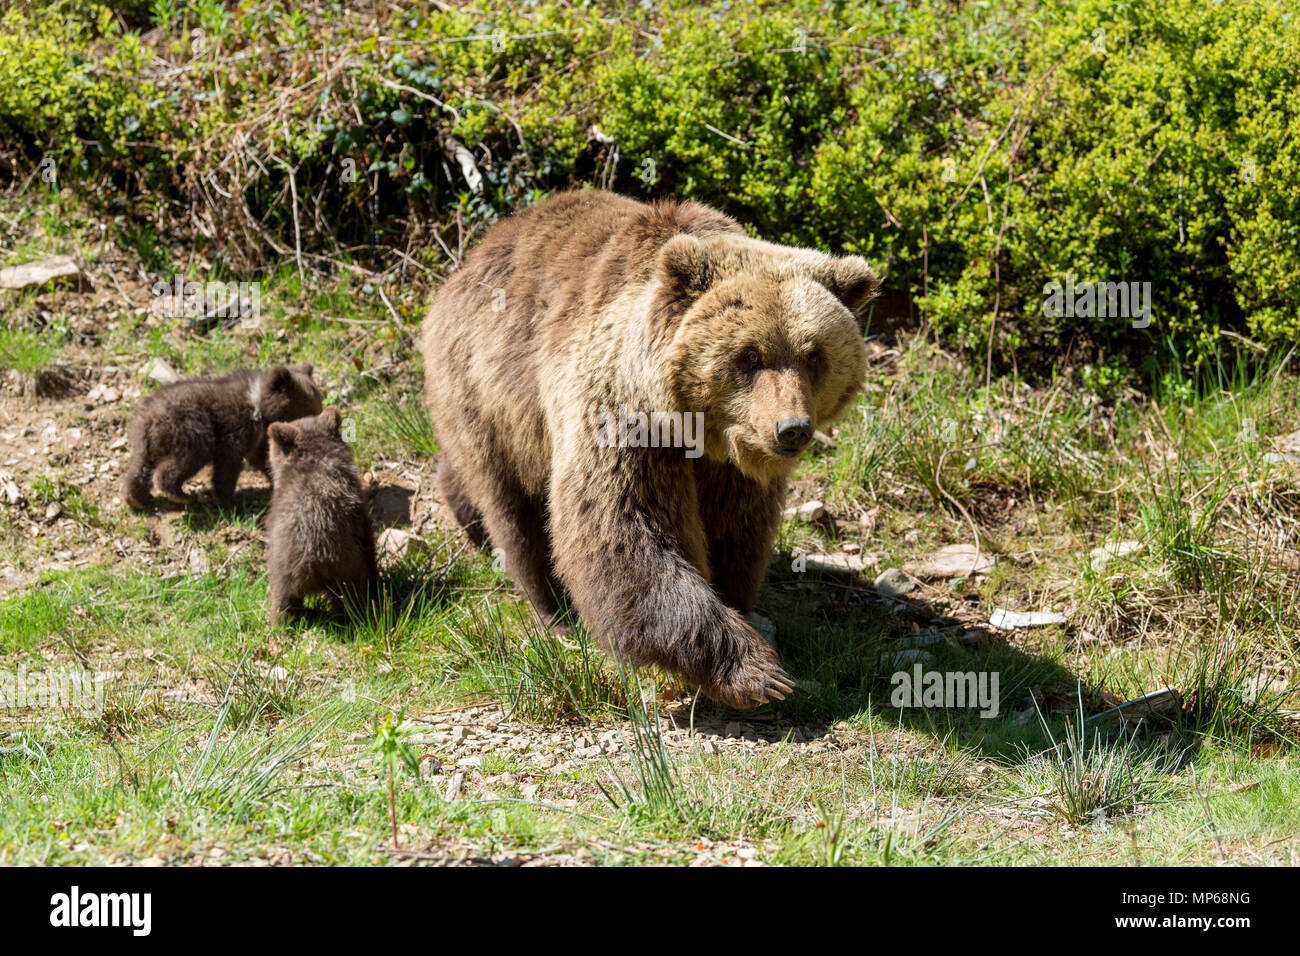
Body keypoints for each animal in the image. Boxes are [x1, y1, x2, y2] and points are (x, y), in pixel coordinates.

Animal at [121, 363, 323, 511]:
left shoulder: (257, 438)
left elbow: (263, 458)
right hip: (189, 430)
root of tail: (150, 418)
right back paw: (181, 495)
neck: (258, 409)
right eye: (310, 409)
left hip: (146, 443)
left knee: (139, 467)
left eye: (318, 405)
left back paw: (136, 499)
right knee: (183, 459)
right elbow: (227, 465)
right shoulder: (235, 429)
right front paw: (228, 502)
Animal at [265, 407, 377, 622]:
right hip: (348, 569)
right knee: (350, 598)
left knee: (283, 599)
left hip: (283, 564)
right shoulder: (360, 514)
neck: (315, 457)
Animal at [421, 190, 878, 708]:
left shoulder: (732, 470)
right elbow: (626, 529)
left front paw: (739, 606)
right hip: (487, 396)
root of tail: (470, 259)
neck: (701, 430)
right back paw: (552, 610)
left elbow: (738, 532)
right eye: (750, 354)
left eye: (814, 355)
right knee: (512, 510)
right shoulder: (624, 418)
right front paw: (755, 671)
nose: (792, 428)